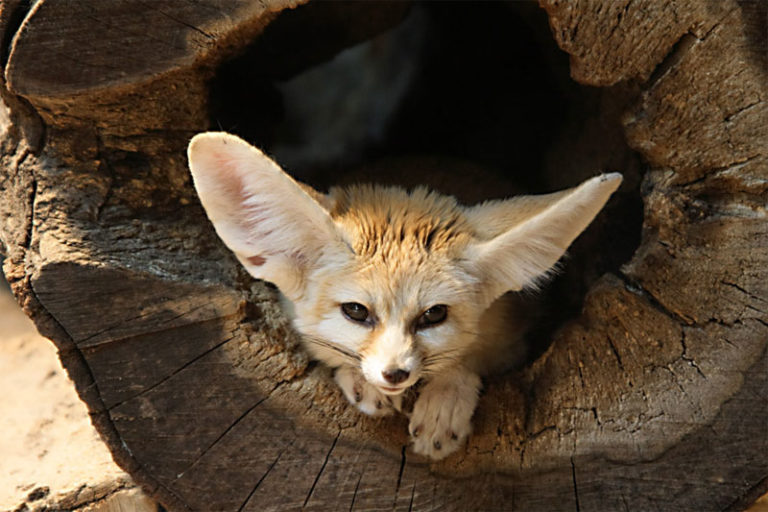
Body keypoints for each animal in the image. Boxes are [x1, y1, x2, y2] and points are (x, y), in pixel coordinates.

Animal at [187, 132, 622, 460]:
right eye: (356, 311)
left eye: (433, 316)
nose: (394, 374)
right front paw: (362, 383)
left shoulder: (510, 340)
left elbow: (466, 362)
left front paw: (445, 399)